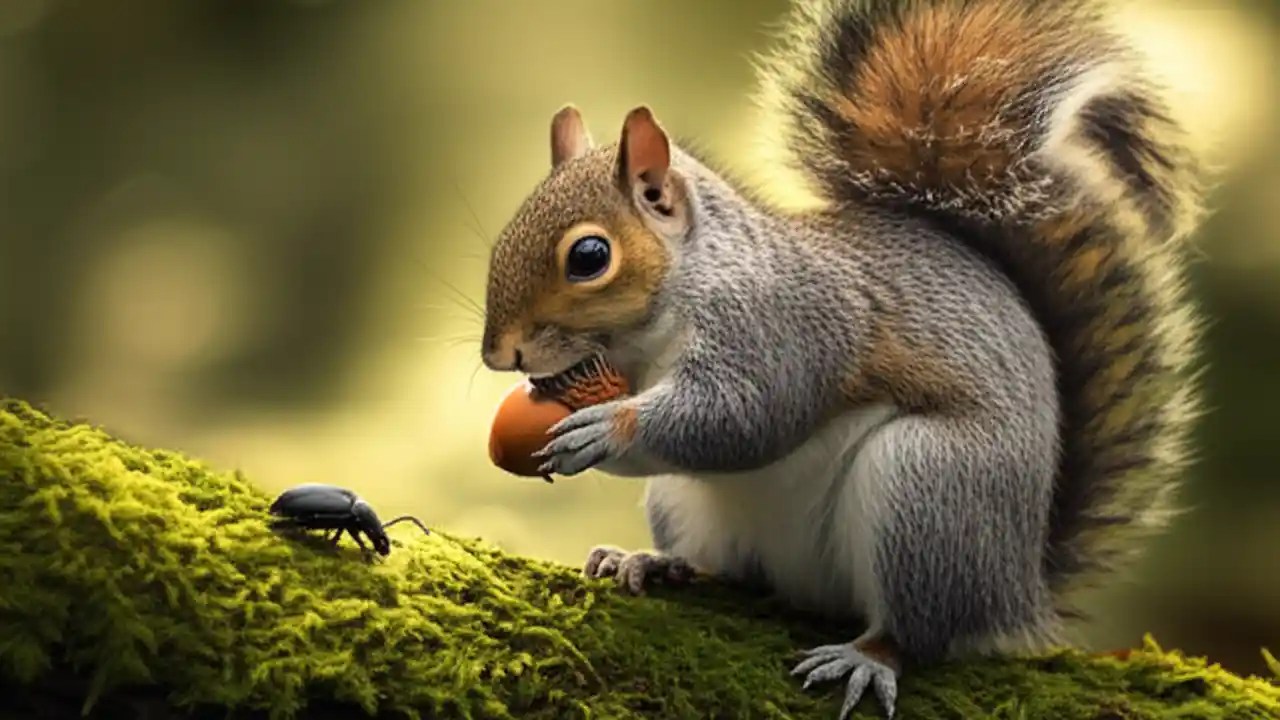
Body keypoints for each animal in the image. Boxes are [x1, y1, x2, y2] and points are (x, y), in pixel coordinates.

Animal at [479, 0, 1206, 717]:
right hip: (687, 501)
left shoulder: (782, 327)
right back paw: (653, 563)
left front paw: (606, 428)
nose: (497, 354)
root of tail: (1016, 591)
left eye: (590, 256)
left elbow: (743, 416)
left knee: (919, 628)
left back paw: (868, 656)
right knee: (730, 567)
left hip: (929, 490)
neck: (677, 300)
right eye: (502, 234)